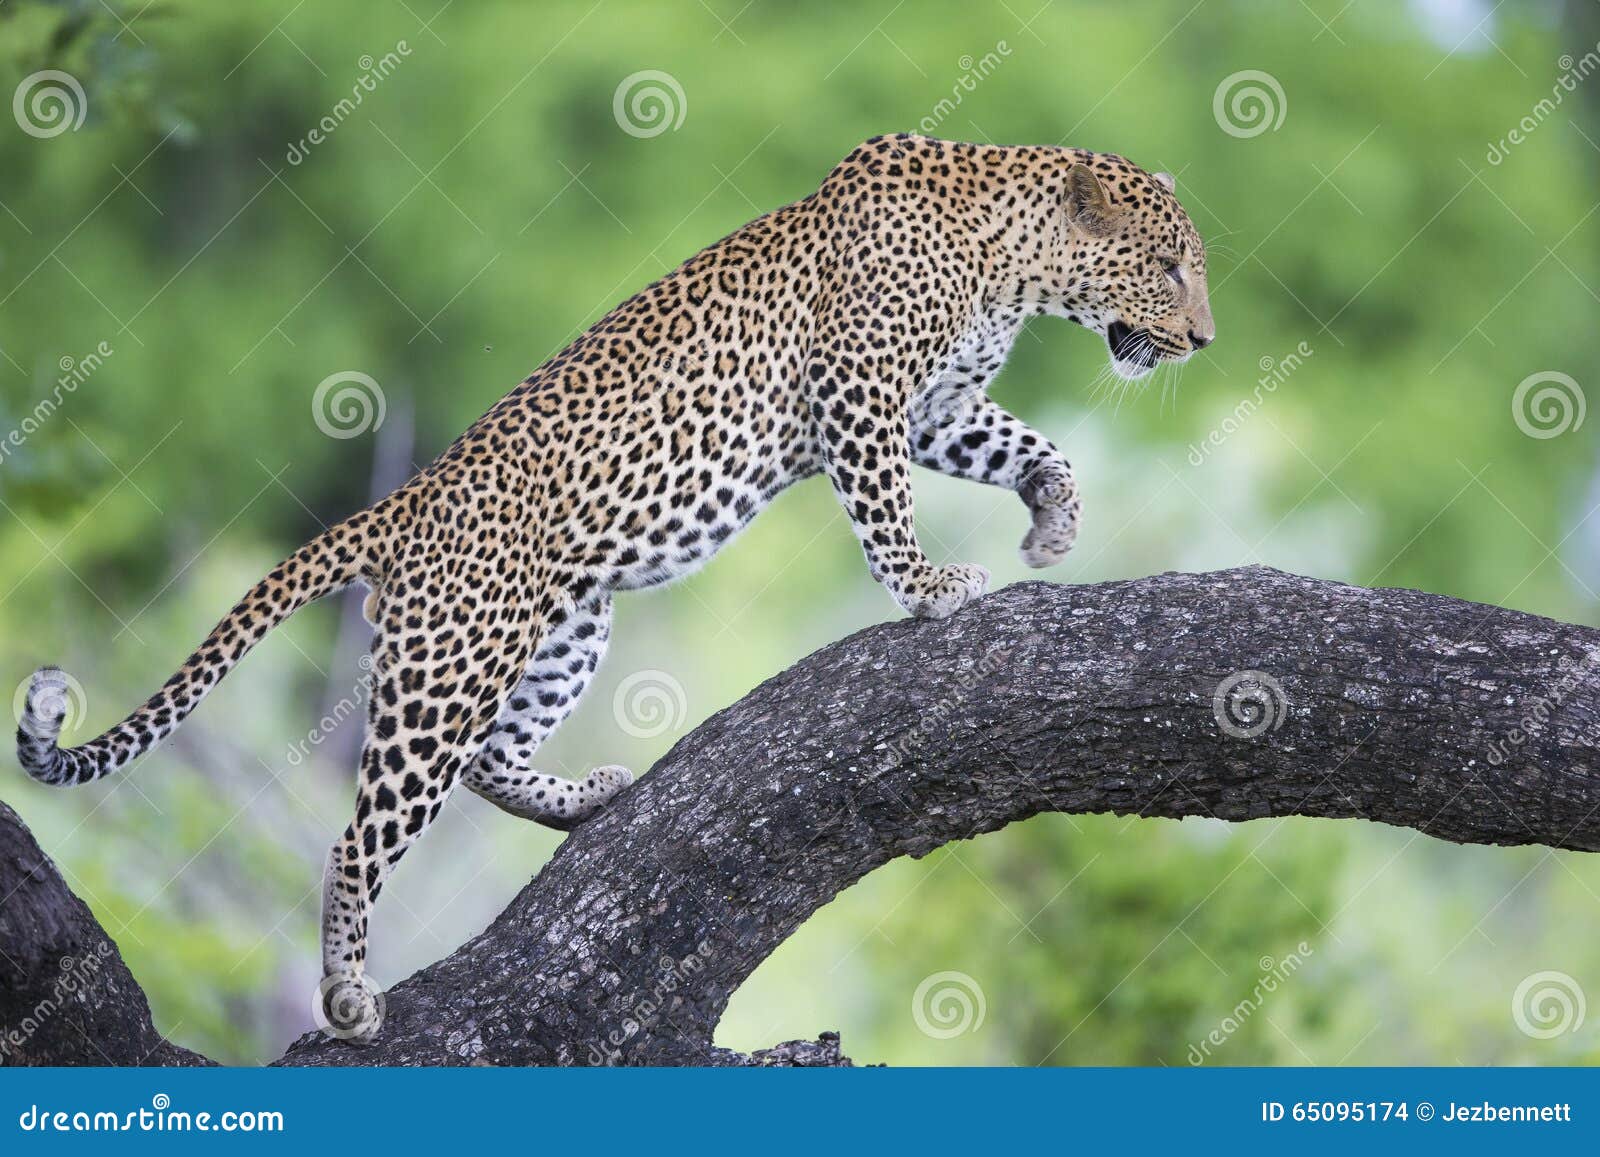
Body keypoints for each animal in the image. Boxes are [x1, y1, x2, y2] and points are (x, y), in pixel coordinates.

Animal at [16, 133, 1215, 1043]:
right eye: (1169, 268)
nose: (1204, 338)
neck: (1014, 264)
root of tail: (403, 505)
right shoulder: (860, 393)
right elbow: (884, 509)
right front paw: (929, 586)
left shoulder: (938, 408)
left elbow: (1036, 445)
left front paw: (1054, 520)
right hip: (448, 668)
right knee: (361, 836)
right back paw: (350, 996)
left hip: (563, 628)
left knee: (492, 757)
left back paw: (582, 796)